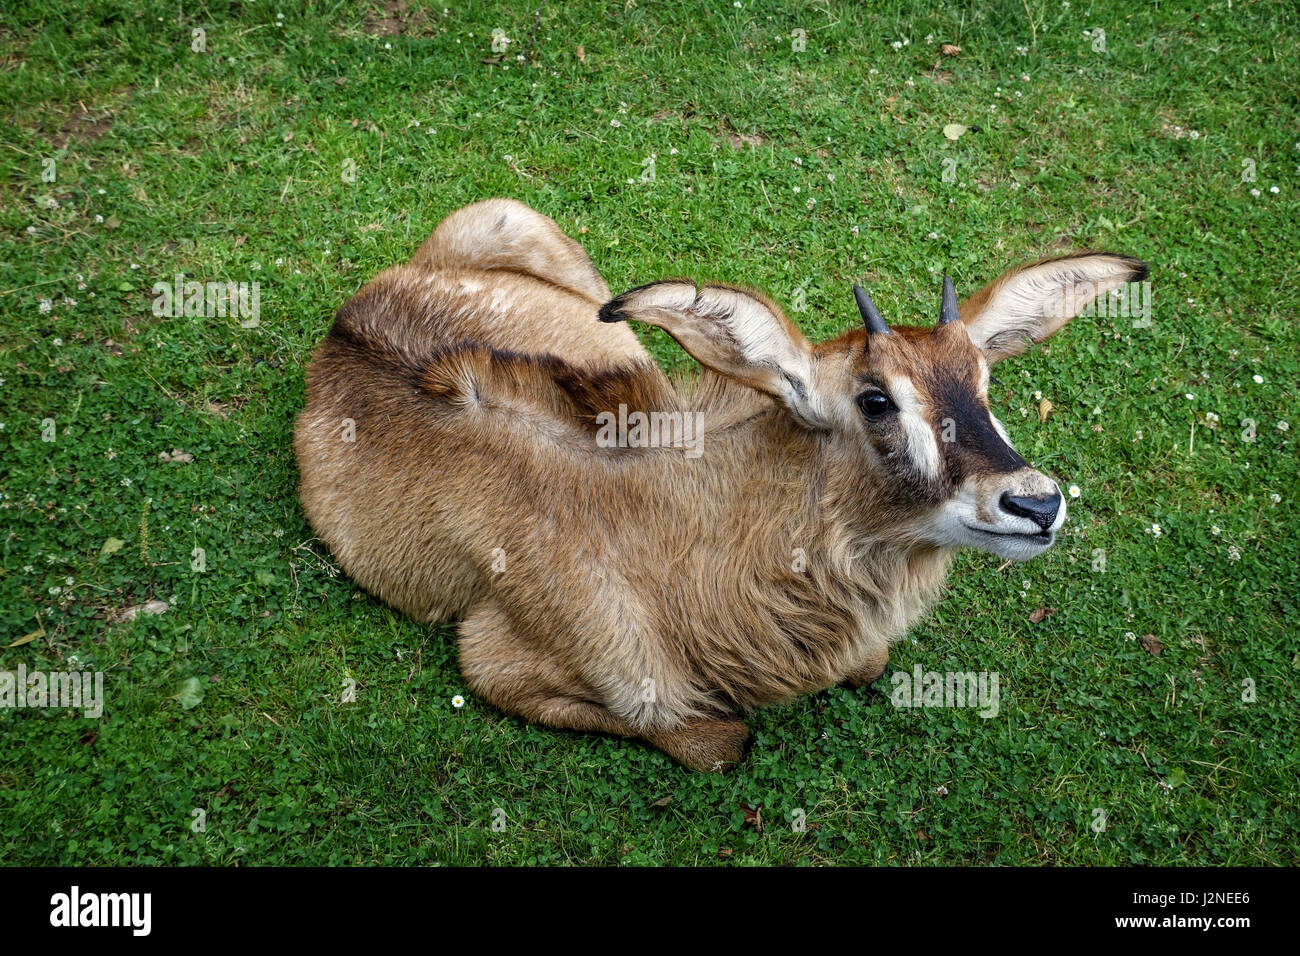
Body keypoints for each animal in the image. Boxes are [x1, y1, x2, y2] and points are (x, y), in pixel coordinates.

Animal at [295, 198, 1147, 771]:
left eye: (984, 381)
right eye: (875, 399)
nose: (1035, 502)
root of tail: (353, 312)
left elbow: (870, 662)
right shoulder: (494, 661)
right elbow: (721, 739)